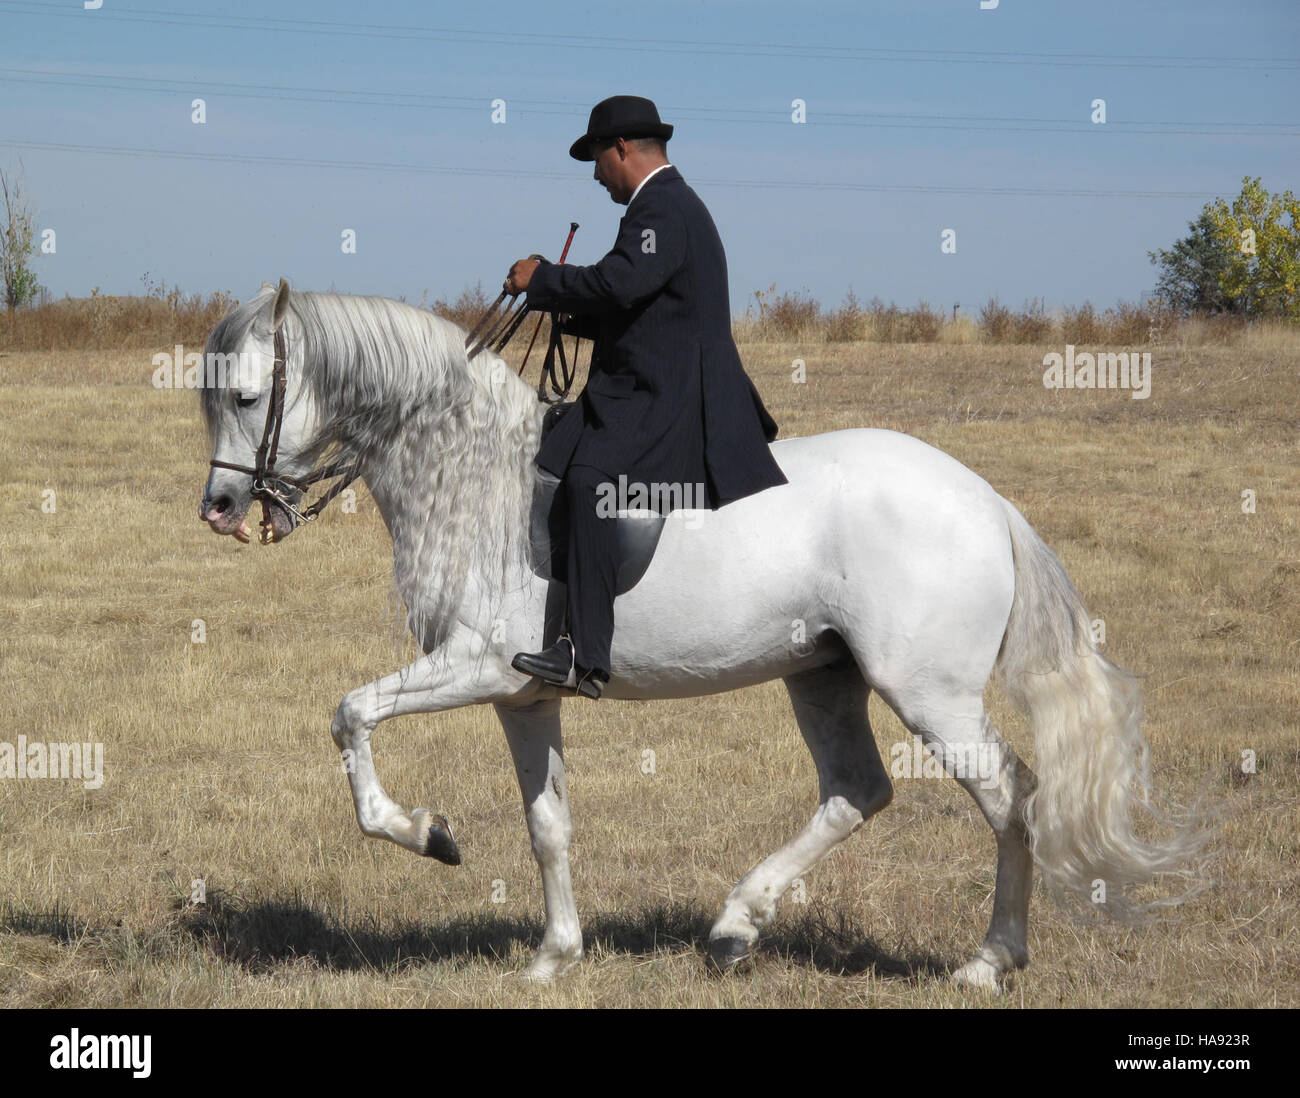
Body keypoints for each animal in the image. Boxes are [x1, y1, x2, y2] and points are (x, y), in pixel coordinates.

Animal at [196, 279, 1207, 989]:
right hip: (823, 674)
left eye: (246, 398)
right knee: (857, 789)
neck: (471, 472)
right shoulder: (522, 692)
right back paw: (735, 926)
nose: (221, 511)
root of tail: (985, 500)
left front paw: (427, 834)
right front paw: (553, 955)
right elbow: (547, 824)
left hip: (930, 694)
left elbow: (351, 714)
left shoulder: (472, 664)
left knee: (1010, 797)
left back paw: (988, 961)